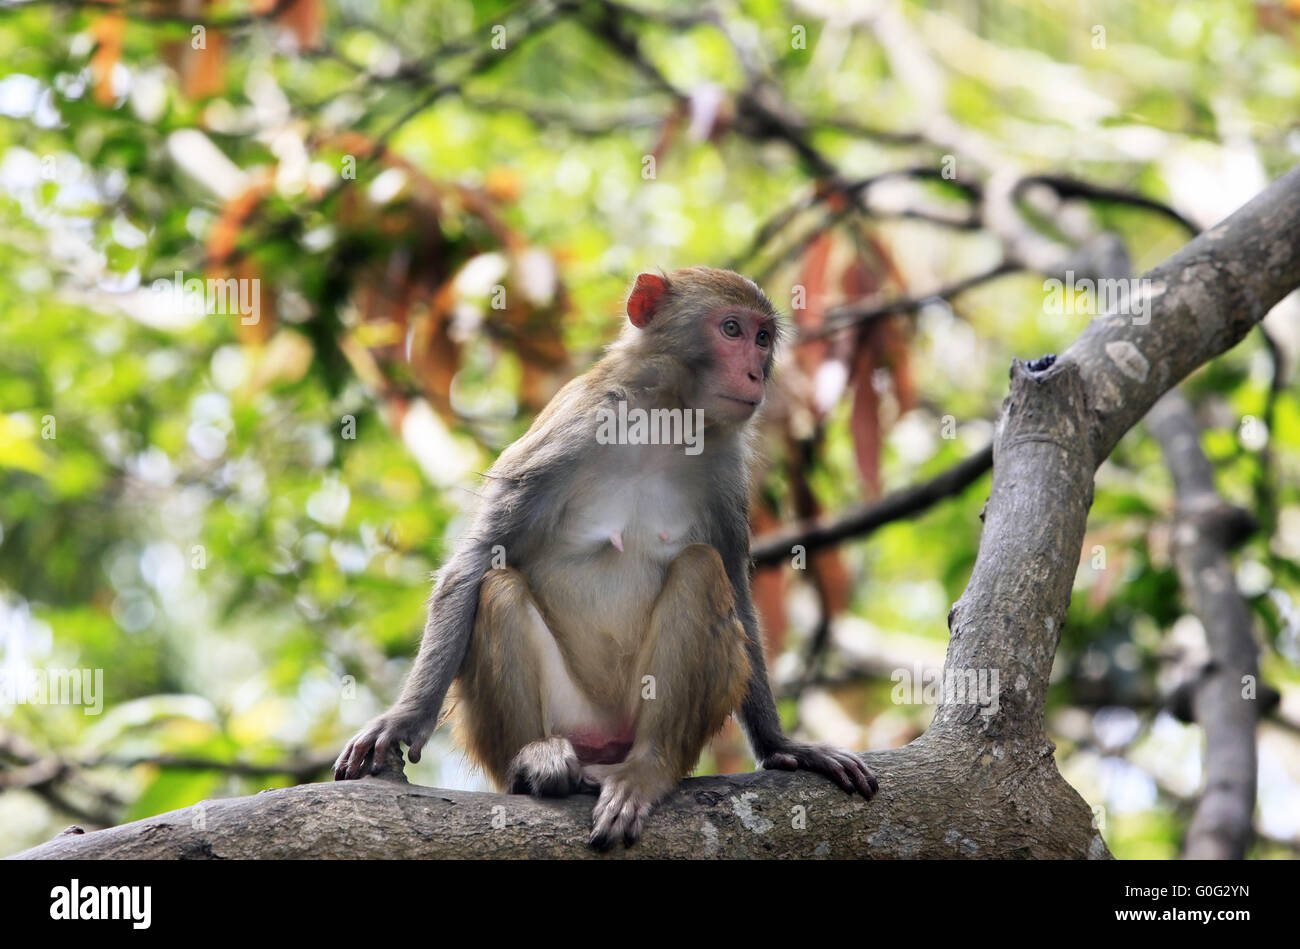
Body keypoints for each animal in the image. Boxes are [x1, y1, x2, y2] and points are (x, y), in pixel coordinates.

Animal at [335, 267, 877, 848]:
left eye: (762, 338)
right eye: (731, 329)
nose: (756, 374)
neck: (664, 416)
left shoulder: (726, 466)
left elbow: (733, 581)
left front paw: (781, 745)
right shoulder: (572, 428)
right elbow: (479, 558)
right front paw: (403, 719)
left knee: (701, 570)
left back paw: (646, 770)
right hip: (568, 717)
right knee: (498, 587)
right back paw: (536, 762)